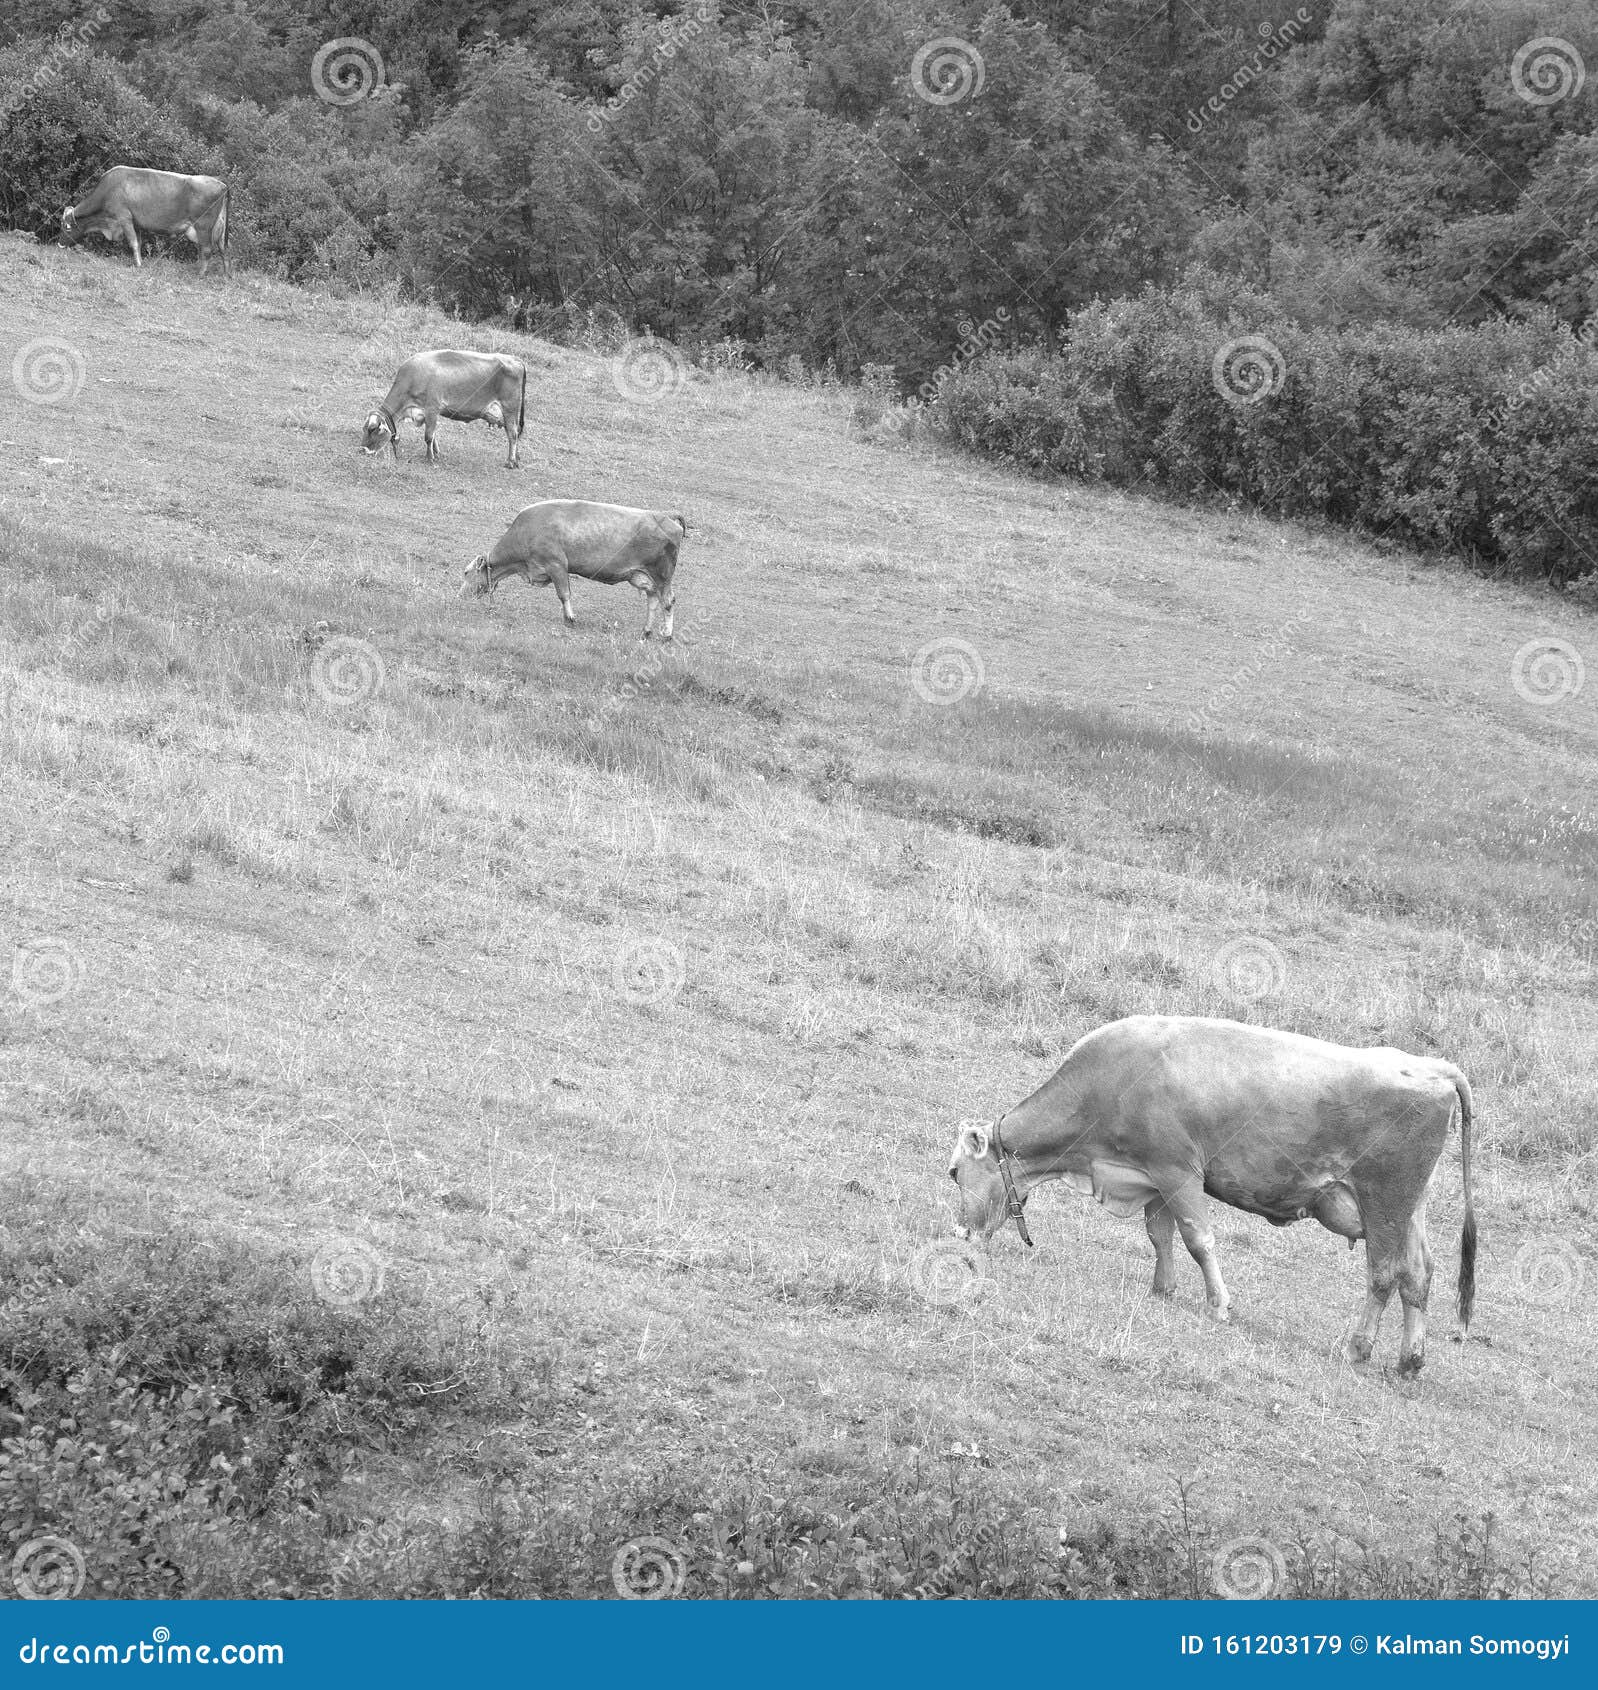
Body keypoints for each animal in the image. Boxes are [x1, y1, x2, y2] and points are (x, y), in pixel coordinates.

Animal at [60, 166, 230, 276]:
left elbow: (133, 243)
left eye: (67, 227)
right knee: (222, 249)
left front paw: (138, 265)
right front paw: (140, 261)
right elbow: (139, 243)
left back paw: (200, 274)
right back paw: (226, 275)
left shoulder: (124, 218)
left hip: (203, 226)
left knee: (207, 249)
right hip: (218, 227)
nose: (60, 244)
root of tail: (221, 183)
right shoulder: (136, 223)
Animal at [361, 350, 526, 469]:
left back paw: (510, 462)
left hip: (510, 407)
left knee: (512, 433)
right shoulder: (426, 413)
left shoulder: (432, 408)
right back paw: (517, 458)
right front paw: (436, 453)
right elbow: (433, 434)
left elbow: (428, 436)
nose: (362, 450)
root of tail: (515, 359)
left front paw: (430, 458)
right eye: (364, 429)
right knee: (515, 431)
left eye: (372, 429)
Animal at [459, 501, 686, 638]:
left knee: (668, 601)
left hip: (663, 574)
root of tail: (666, 516)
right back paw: (646, 631)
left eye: (466, 572)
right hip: (643, 576)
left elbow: (564, 594)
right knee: (653, 600)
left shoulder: (557, 565)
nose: (459, 595)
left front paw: (570, 619)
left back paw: (666, 635)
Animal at [948, 1015, 1477, 1376]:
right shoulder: (1152, 1176)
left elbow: (1198, 1239)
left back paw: (1358, 1347)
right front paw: (1163, 1288)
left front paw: (1218, 1305)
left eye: (954, 1173)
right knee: (1418, 1275)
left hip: (1385, 1200)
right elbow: (1159, 1235)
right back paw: (1409, 1360)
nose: (959, 1234)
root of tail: (1434, 1067)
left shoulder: (1178, 1170)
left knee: (1384, 1274)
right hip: (1410, 1210)